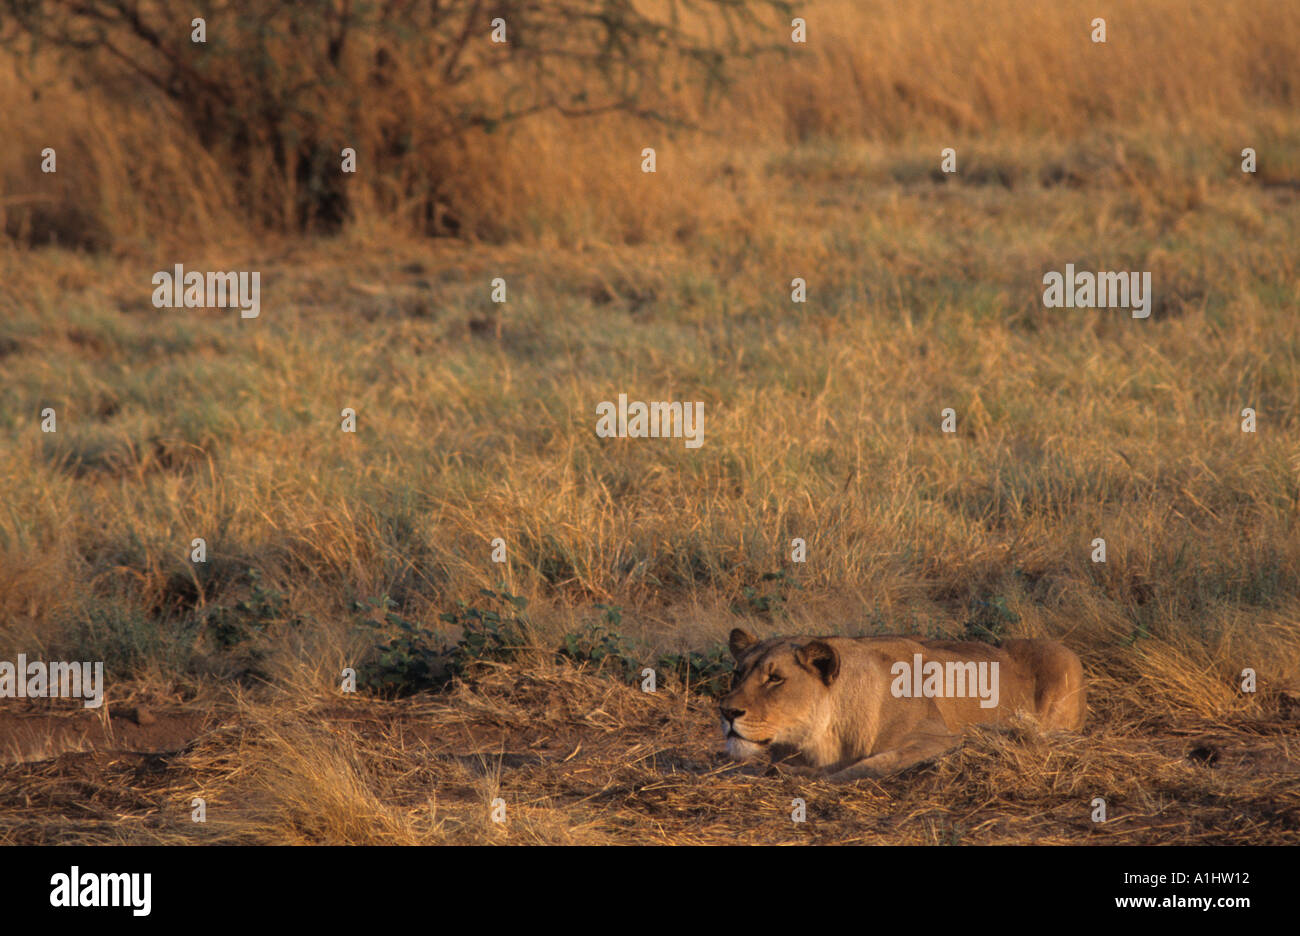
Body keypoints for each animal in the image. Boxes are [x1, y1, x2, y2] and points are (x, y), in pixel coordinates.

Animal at [718, 628, 1086, 781]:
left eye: (775, 679)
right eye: (737, 674)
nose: (727, 712)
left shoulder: (942, 738)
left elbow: (871, 765)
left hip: (1060, 657)